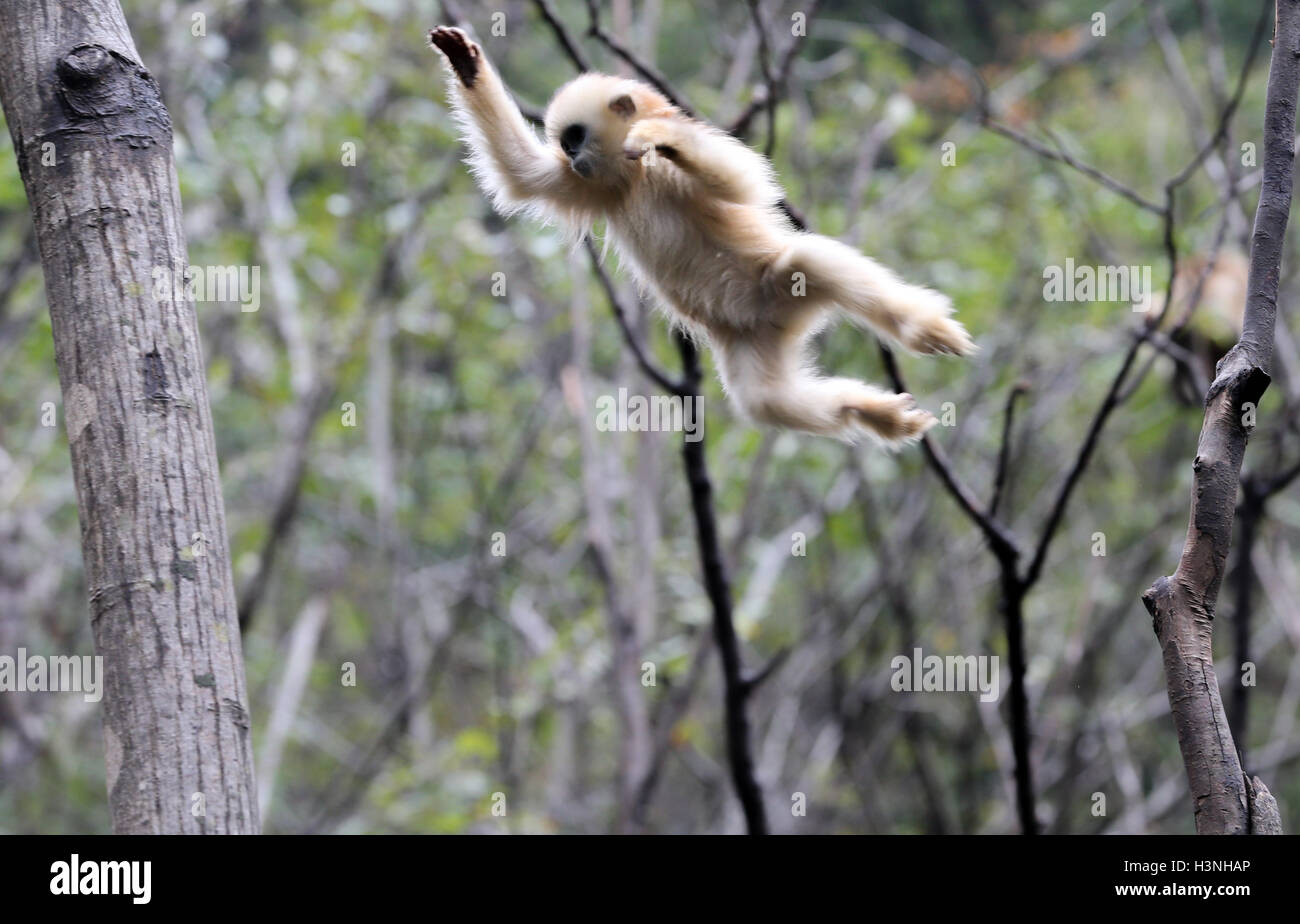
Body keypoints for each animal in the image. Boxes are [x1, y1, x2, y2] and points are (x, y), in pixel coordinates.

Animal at [428, 26, 974, 446]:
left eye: (576, 137)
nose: (574, 156)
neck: (633, 179)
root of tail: (776, 317)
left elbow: (746, 184)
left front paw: (659, 136)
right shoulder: (590, 185)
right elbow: (519, 173)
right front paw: (466, 64)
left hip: (776, 283)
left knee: (807, 261)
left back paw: (922, 328)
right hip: (748, 341)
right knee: (765, 402)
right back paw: (879, 415)